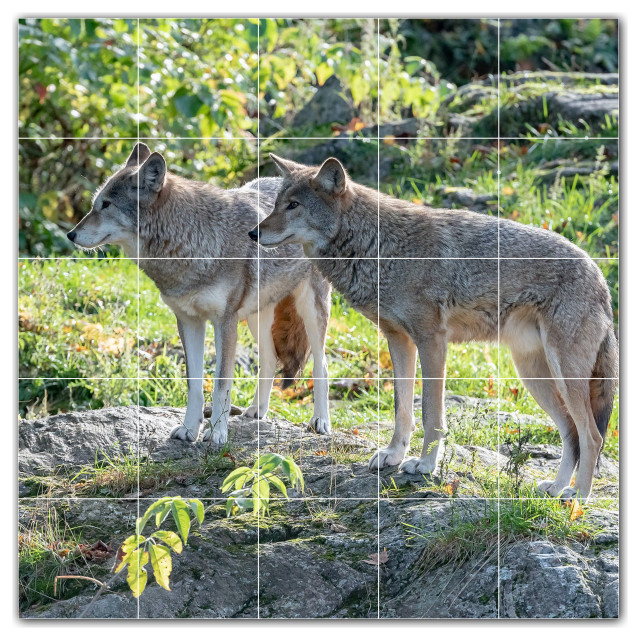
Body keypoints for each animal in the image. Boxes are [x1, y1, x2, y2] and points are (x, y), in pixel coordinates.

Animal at [67, 143, 332, 444]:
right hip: (257, 317)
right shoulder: (188, 321)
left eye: (106, 205)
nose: (71, 234)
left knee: (321, 365)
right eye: (95, 204)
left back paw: (320, 421)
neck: (189, 242)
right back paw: (257, 411)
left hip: (310, 310)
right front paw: (189, 429)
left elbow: (220, 384)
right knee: (270, 358)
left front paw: (216, 433)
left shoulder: (225, 322)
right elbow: (193, 384)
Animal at [250, 153, 618, 501]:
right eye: (276, 204)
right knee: (571, 432)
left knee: (592, 435)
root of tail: (601, 278)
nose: (253, 233)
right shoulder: (398, 341)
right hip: (533, 376)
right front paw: (393, 455)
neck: (381, 247)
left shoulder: (432, 341)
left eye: (293, 205)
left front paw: (425, 465)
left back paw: (578, 497)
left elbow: (430, 413)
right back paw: (556, 488)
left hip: (562, 375)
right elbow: (402, 409)